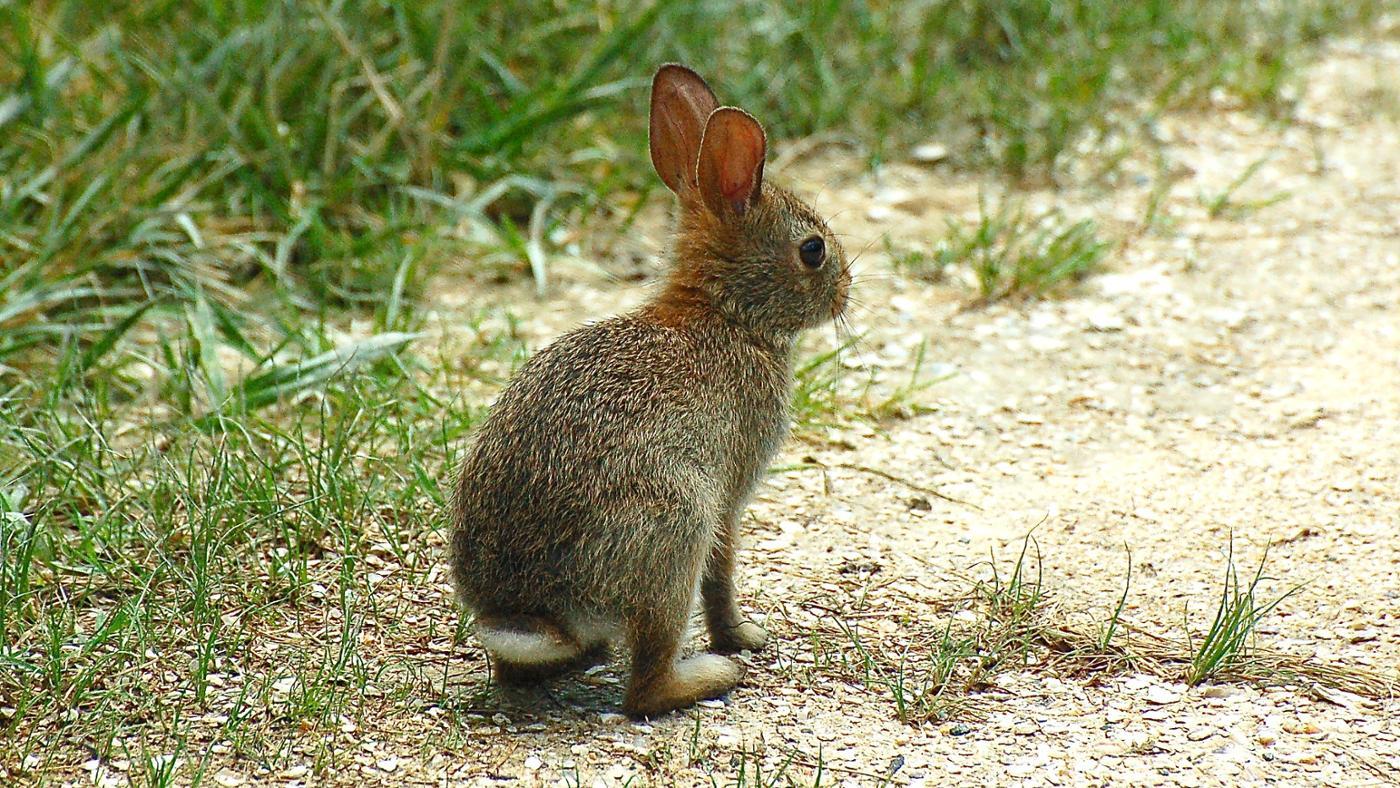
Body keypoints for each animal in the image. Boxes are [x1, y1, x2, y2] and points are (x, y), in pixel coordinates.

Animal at [449, 63, 849, 718]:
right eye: (812, 250)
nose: (845, 293)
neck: (725, 312)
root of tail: (537, 610)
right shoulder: (729, 495)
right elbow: (722, 574)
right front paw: (743, 637)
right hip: (676, 527)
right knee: (644, 688)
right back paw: (711, 674)